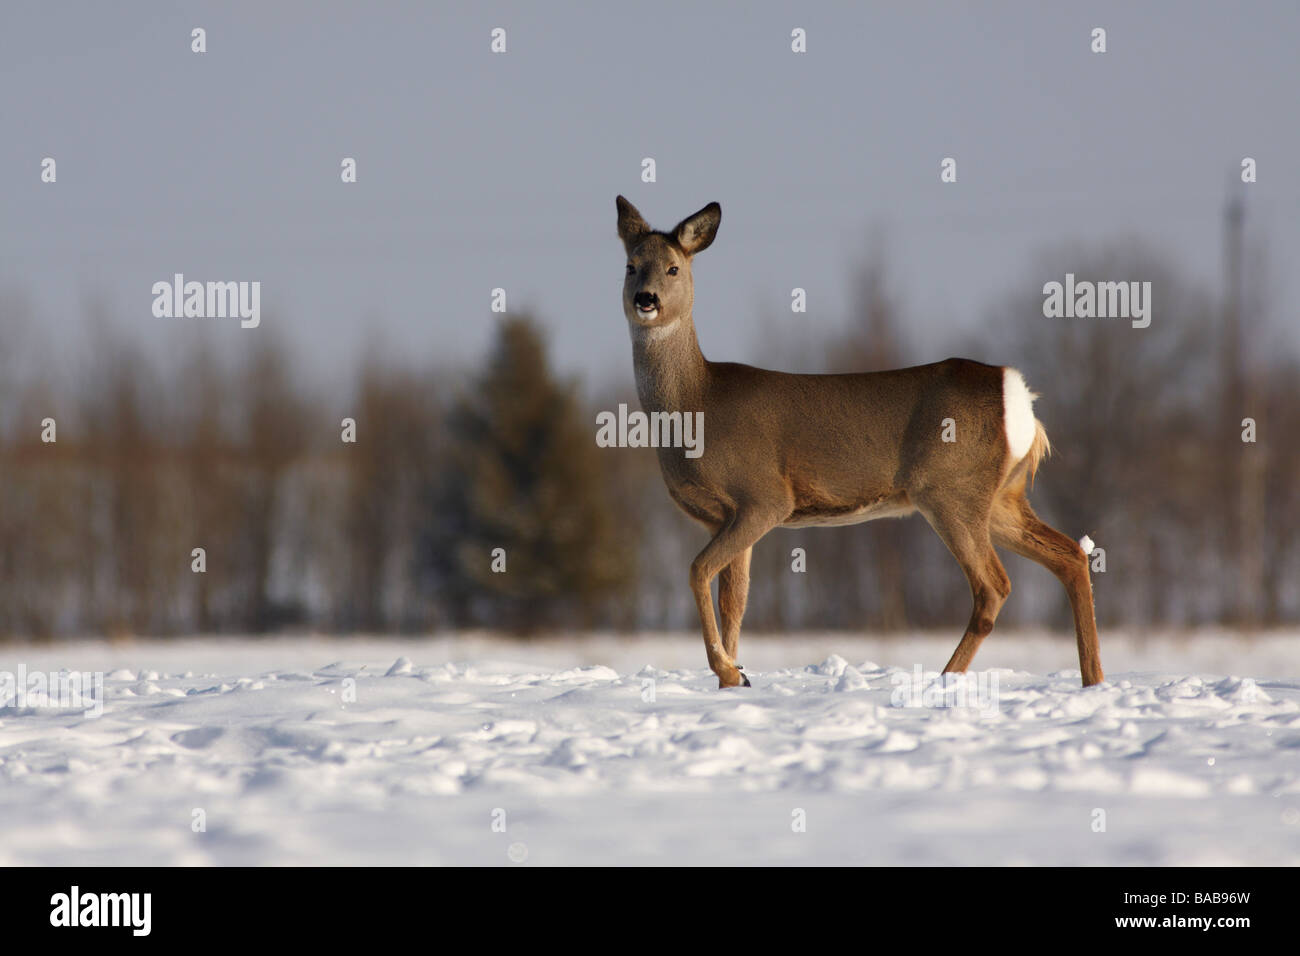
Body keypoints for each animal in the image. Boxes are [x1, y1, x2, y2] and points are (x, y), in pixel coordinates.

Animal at [615, 195, 1104, 690]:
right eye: (630, 265)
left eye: (674, 268)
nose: (646, 299)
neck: (695, 404)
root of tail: (1019, 396)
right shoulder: (724, 517)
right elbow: (734, 601)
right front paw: (733, 680)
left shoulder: (764, 497)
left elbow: (697, 571)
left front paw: (728, 671)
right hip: (1000, 496)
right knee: (1070, 556)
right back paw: (1093, 681)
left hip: (951, 489)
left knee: (994, 587)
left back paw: (943, 680)